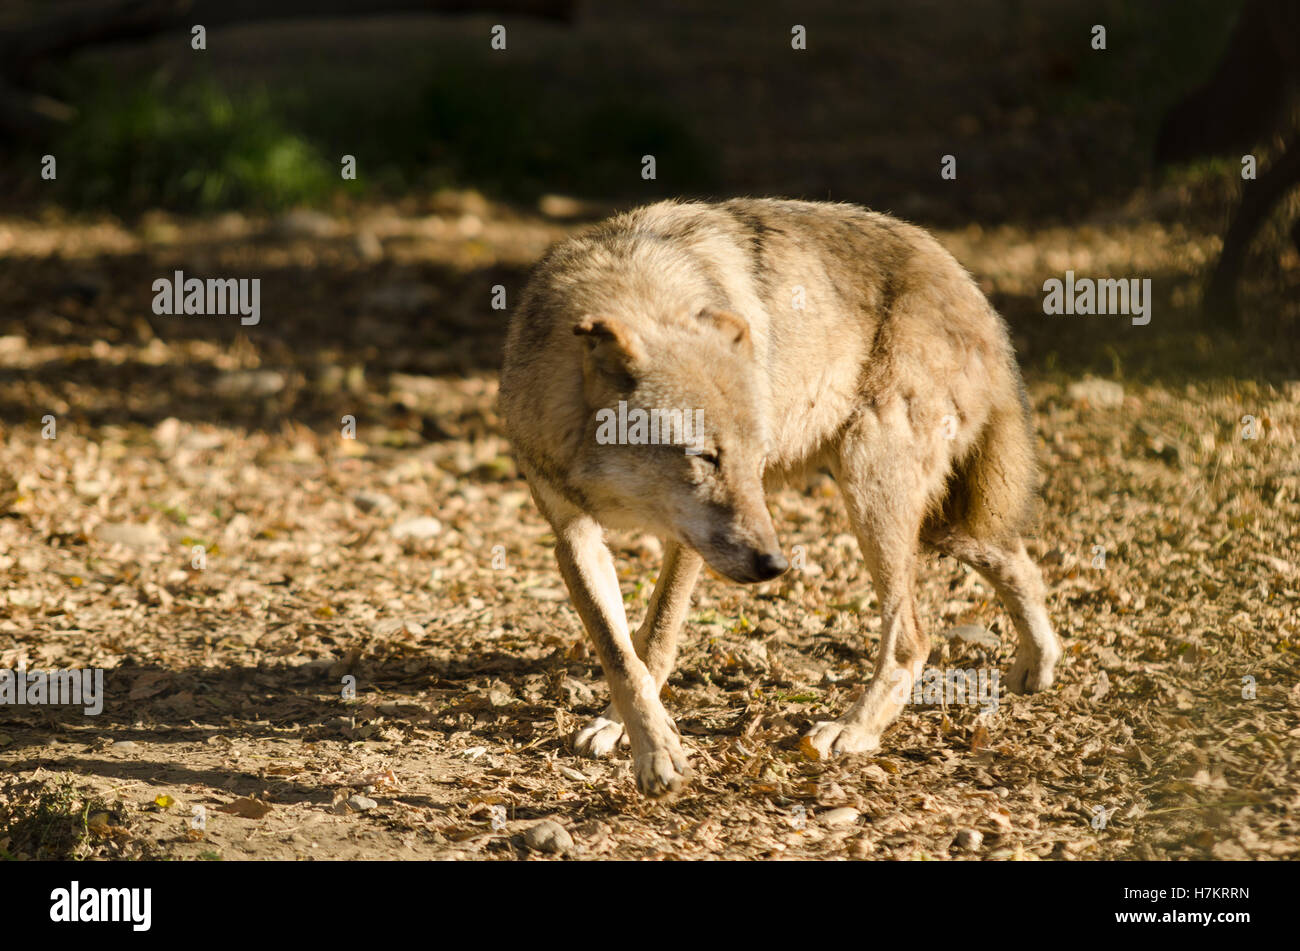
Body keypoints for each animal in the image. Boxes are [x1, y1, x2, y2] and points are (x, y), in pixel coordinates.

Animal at [500, 198, 1061, 798]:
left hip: (873, 494)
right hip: (934, 521)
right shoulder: (574, 538)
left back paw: (854, 731)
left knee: (913, 636)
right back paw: (1038, 665)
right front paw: (640, 741)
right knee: (1016, 558)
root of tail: (970, 287)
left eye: (753, 456)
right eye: (704, 456)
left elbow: (654, 640)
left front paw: (649, 749)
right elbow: (622, 653)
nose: (774, 565)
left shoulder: (689, 543)